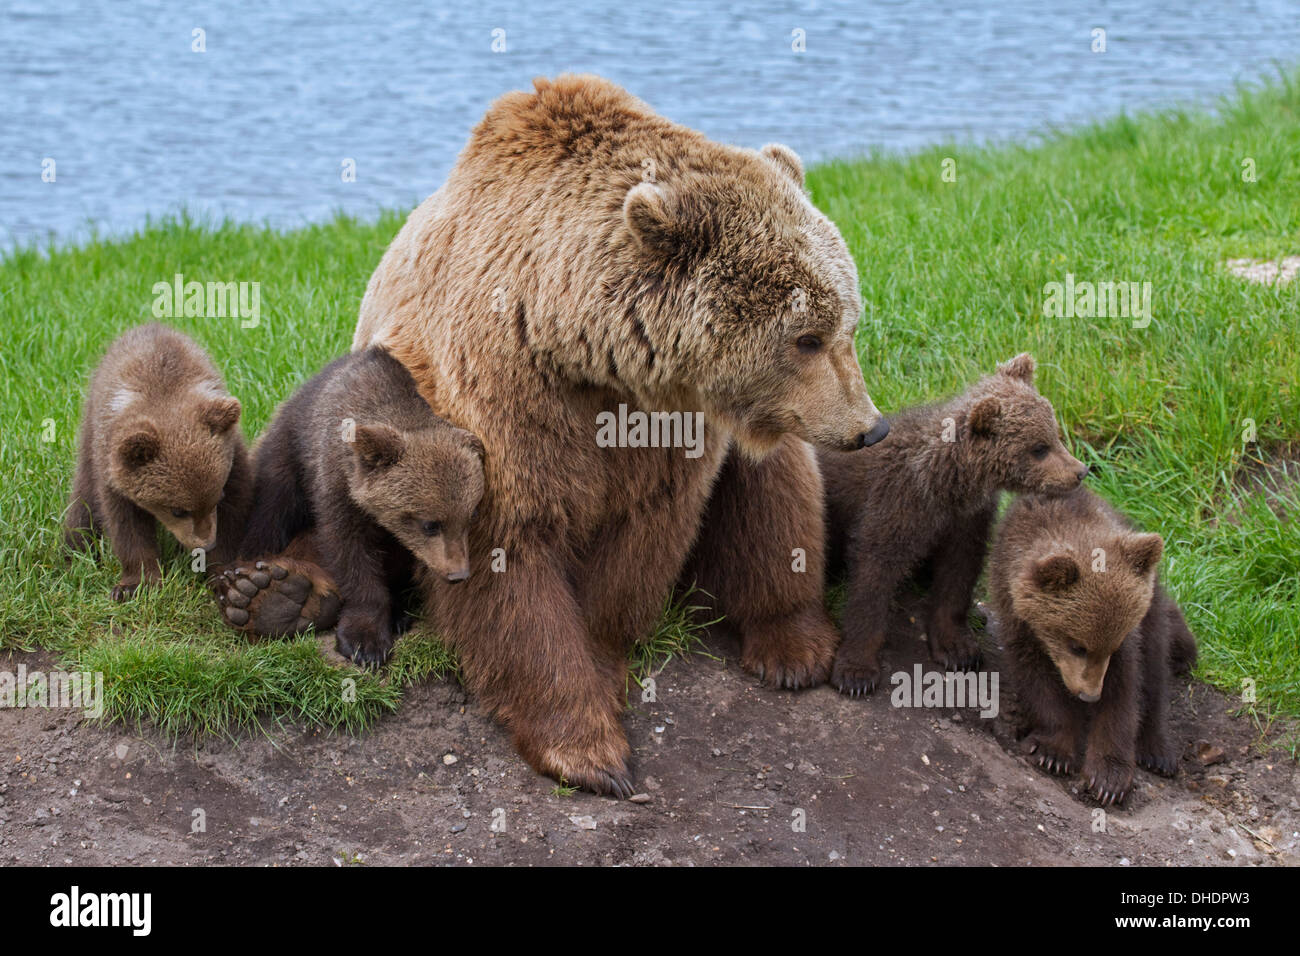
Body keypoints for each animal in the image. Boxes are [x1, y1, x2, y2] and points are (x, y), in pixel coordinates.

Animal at [64, 322, 252, 600]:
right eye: (178, 510)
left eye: (217, 497)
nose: (206, 543)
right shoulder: (113, 470)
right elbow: (126, 525)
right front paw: (135, 584)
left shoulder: (233, 456)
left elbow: (234, 515)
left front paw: (224, 576)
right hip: (90, 437)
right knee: (83, 499)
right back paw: (74, 551)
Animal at [213, 347, 485, 667]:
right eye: (430, 524)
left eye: (470, 516)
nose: (458, 574)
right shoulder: (335, 484)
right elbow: (349, 551)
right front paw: (364, 642)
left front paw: (388, 618)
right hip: (285, 451)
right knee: (270, 512)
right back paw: (256, 587)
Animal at [818, 353, 1088, 695]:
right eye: (1039, 448)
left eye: (1055, 434)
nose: (1080, 471)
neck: (948, 485)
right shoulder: (898, 502)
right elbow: (873, 575)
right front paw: (856, 671)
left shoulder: (967, 520)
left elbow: (958, 575)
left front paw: (958, 649)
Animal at [989, 486, 1198, 805]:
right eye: (1077, 645)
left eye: (1110, 645)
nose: (1089, 695)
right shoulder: (1018, 619)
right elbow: (1038, 682)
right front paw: (1054, 751)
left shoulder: (1126, 643)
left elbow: (1124, 692)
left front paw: (1109, 778)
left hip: (1154, 611)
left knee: (1155, 671)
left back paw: (1157, 752)